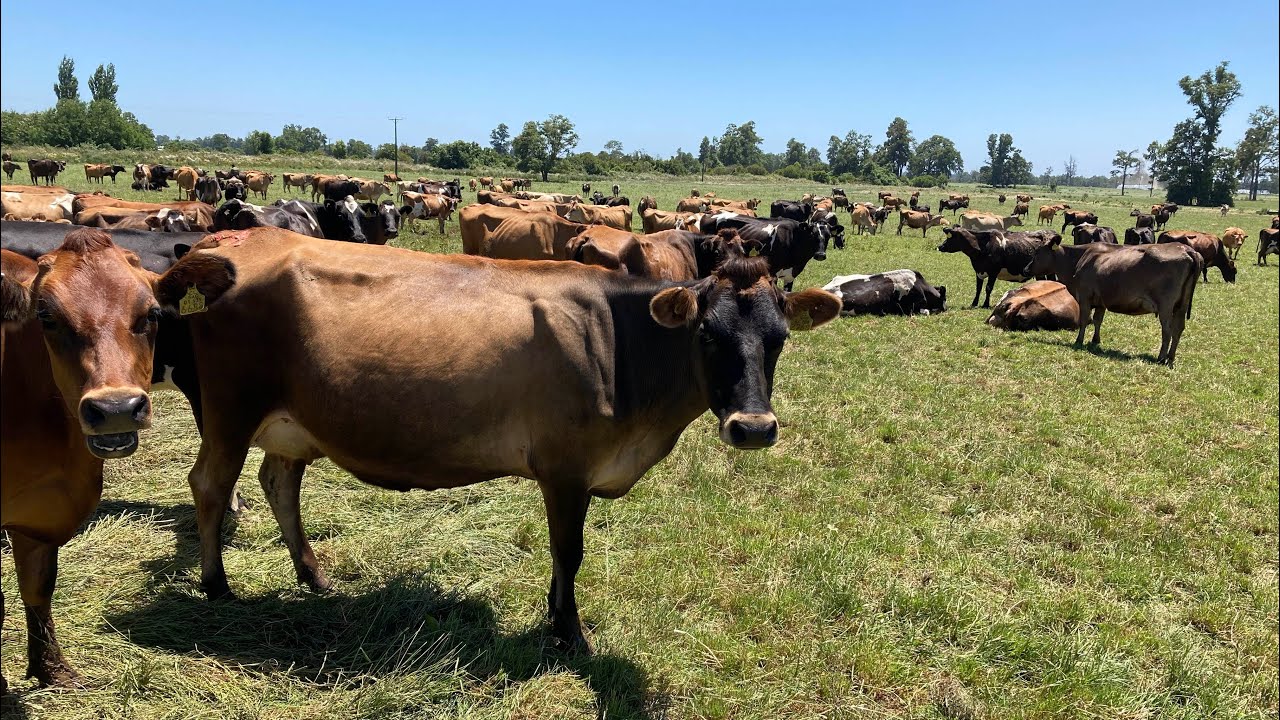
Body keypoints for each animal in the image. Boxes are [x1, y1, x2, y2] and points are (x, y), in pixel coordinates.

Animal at [0, 229, 199, 689]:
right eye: (47, 317)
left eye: (151, 314)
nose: (116, 409)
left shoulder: (41, 511)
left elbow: (38, 585)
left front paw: (52, 670)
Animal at [1023, 238, 1201, 365]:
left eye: (1037, 253)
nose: (1025, 269)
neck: (1078, 258)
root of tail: (1185, 249)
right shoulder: (1101, 301)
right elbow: (1097, 320)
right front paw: (1095, 340)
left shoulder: (1085, 297)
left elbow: (1084, 320)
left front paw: (1079, 341)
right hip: (1181, 306)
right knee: (1178, 329)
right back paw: (1170, 357)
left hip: (1165, 306)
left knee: (1167, 330)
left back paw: (1161, 357)